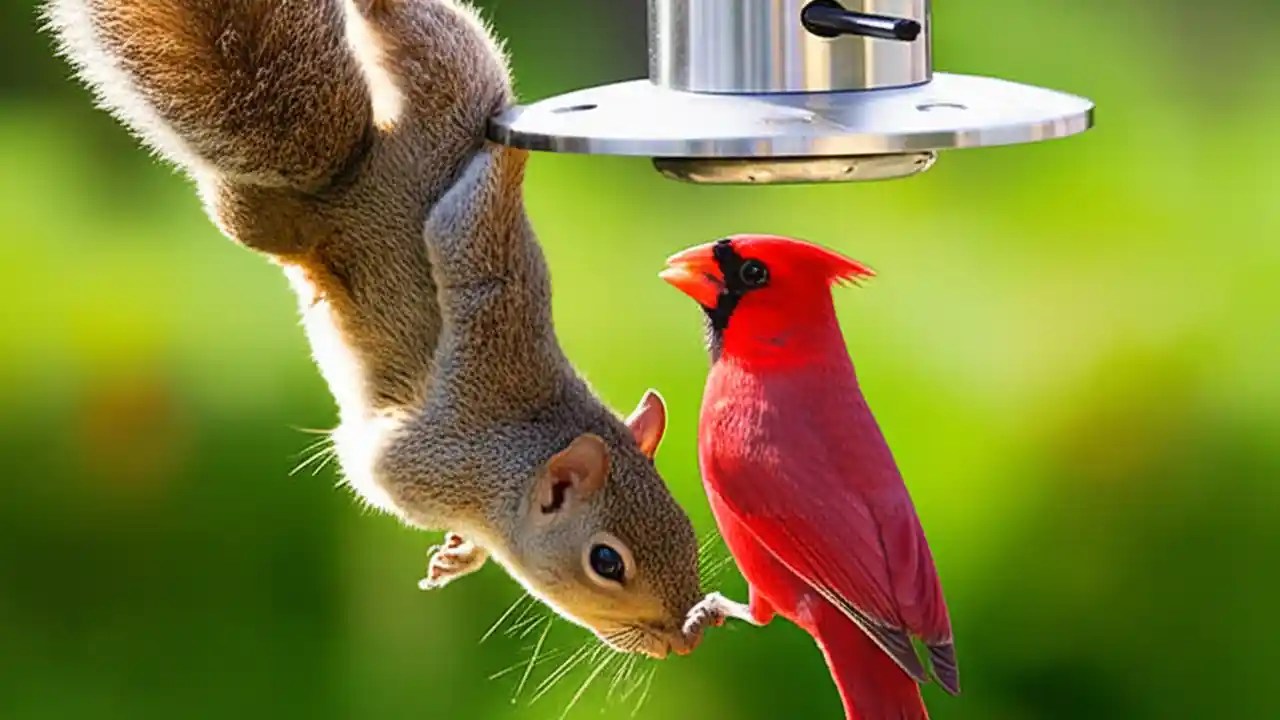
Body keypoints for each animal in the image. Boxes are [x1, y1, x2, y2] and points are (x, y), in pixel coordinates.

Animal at [46, 0, 707, 658]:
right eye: (607, 562)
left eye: (687, 527)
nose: (683, 639)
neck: (512, 464)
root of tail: (352, 168)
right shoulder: (415, 463)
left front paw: (460, 557)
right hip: (266, 215)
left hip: (451, 80)